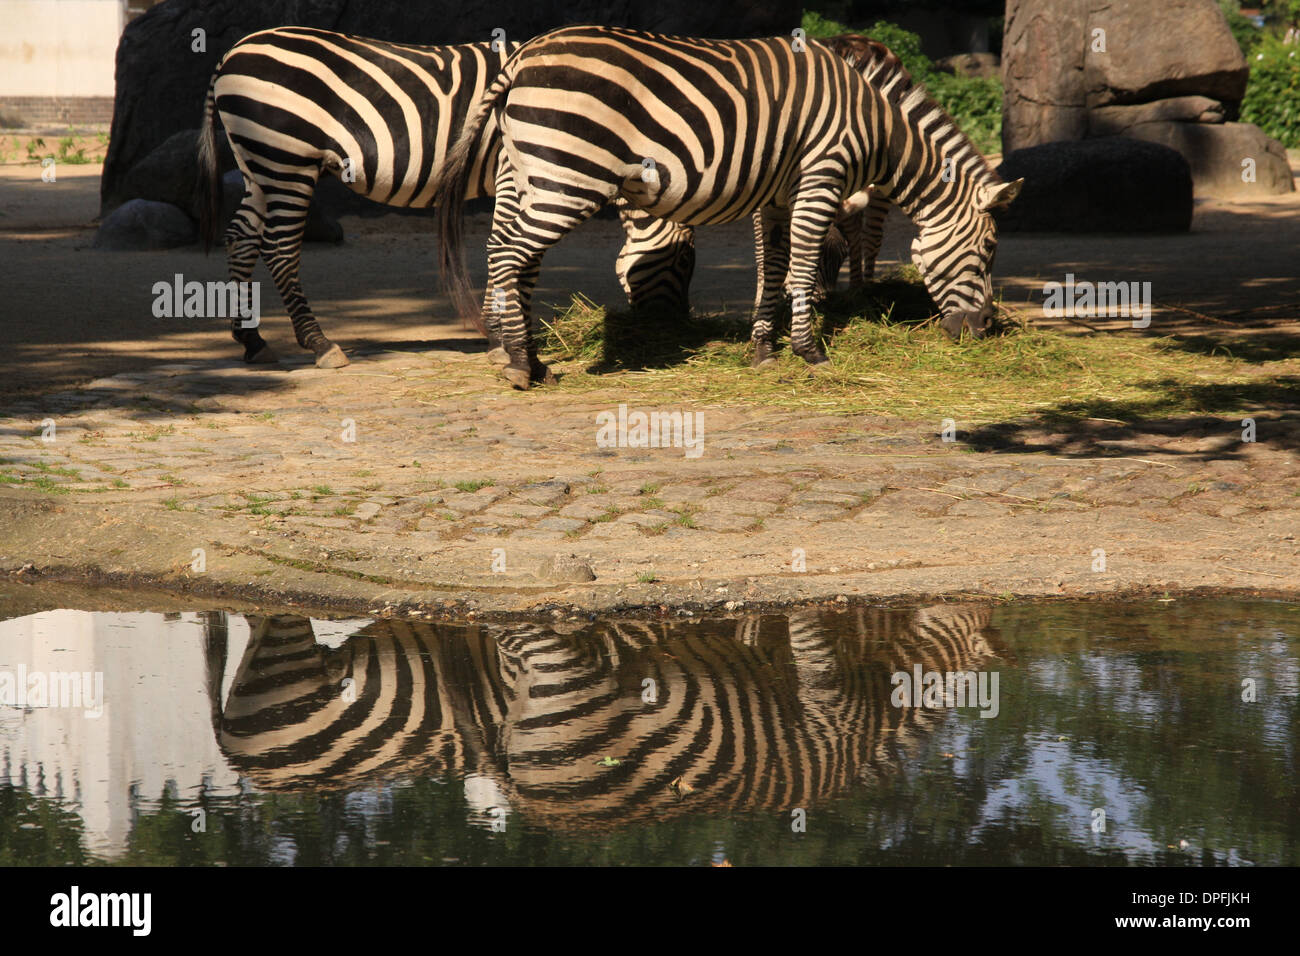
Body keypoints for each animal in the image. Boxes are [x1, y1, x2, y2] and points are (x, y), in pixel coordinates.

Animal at [194, 26, 698, 370]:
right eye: (684, 261)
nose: (676, 327)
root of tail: (233, 51)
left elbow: (509, 248)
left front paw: (501, 335)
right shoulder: (515, 169)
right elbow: (510, 248)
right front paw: (504, 340)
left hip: (259, 164)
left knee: (241, 237)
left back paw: (252, 340)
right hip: (286, 160)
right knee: (279, 248)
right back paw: (319, 344)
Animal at [433, 25, 1021, 389]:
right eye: (989, 248)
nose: (984, 329)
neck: (877, 125)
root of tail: (521, 57)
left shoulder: (780, 193)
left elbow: (774, 269)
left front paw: (764, 352)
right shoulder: (821, 174)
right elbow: (801, 269)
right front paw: (812, 354)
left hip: (528, 174)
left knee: (510, 255)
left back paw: (533, 361)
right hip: (567, 177)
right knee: (508, 256)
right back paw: (517, 364)